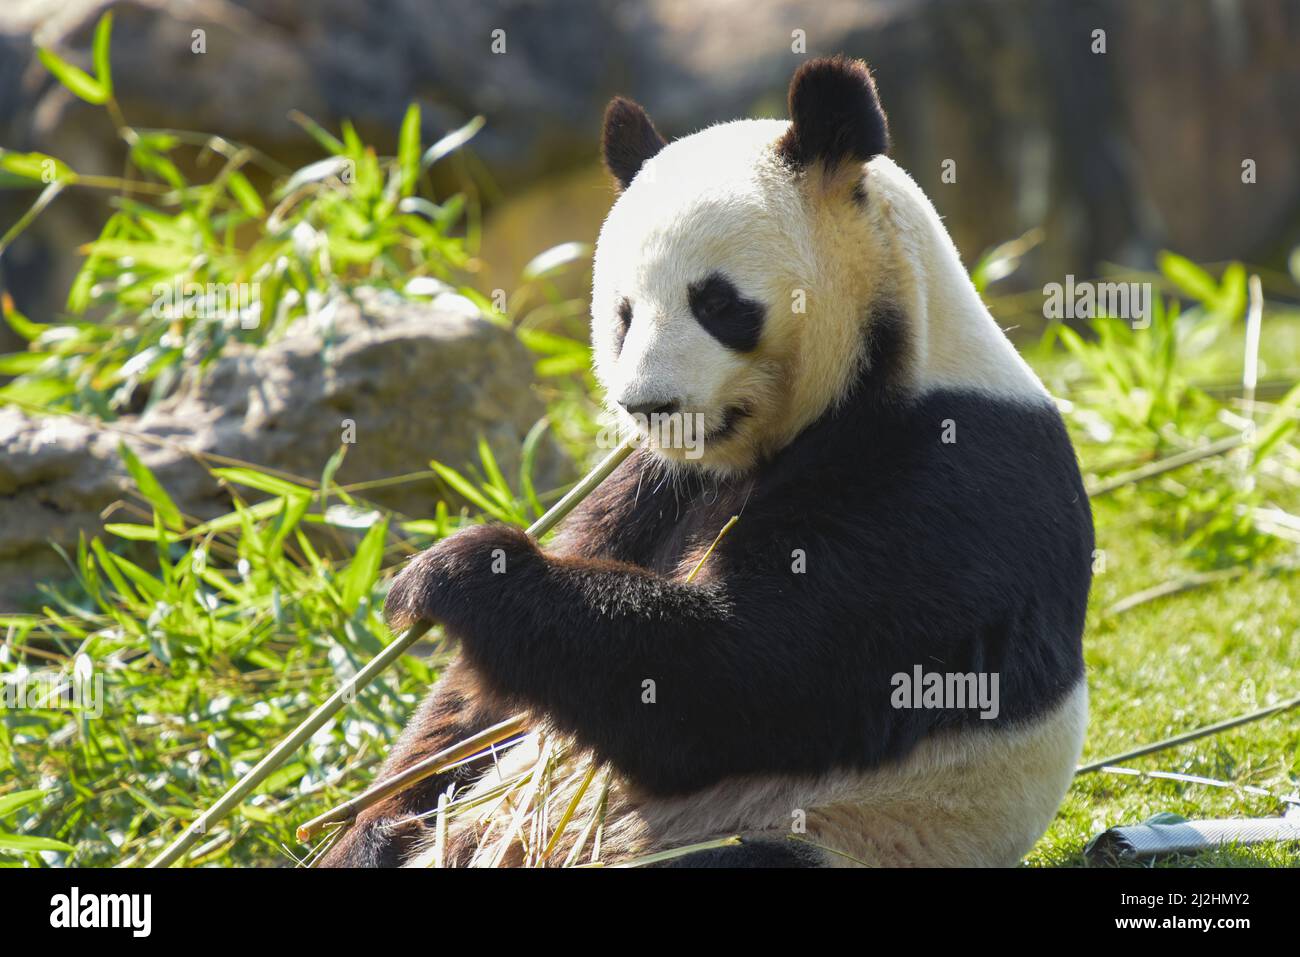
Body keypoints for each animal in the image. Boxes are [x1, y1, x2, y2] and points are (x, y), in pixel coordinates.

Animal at [320, 56, 1093, 868]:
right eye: (623, 312)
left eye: (717, 303)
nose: (648, 405)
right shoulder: (655, 480)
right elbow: (468, 721)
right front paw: (362, 817)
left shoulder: (942, 480)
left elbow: (739, 676)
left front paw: (456, 570)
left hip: (825, 832)